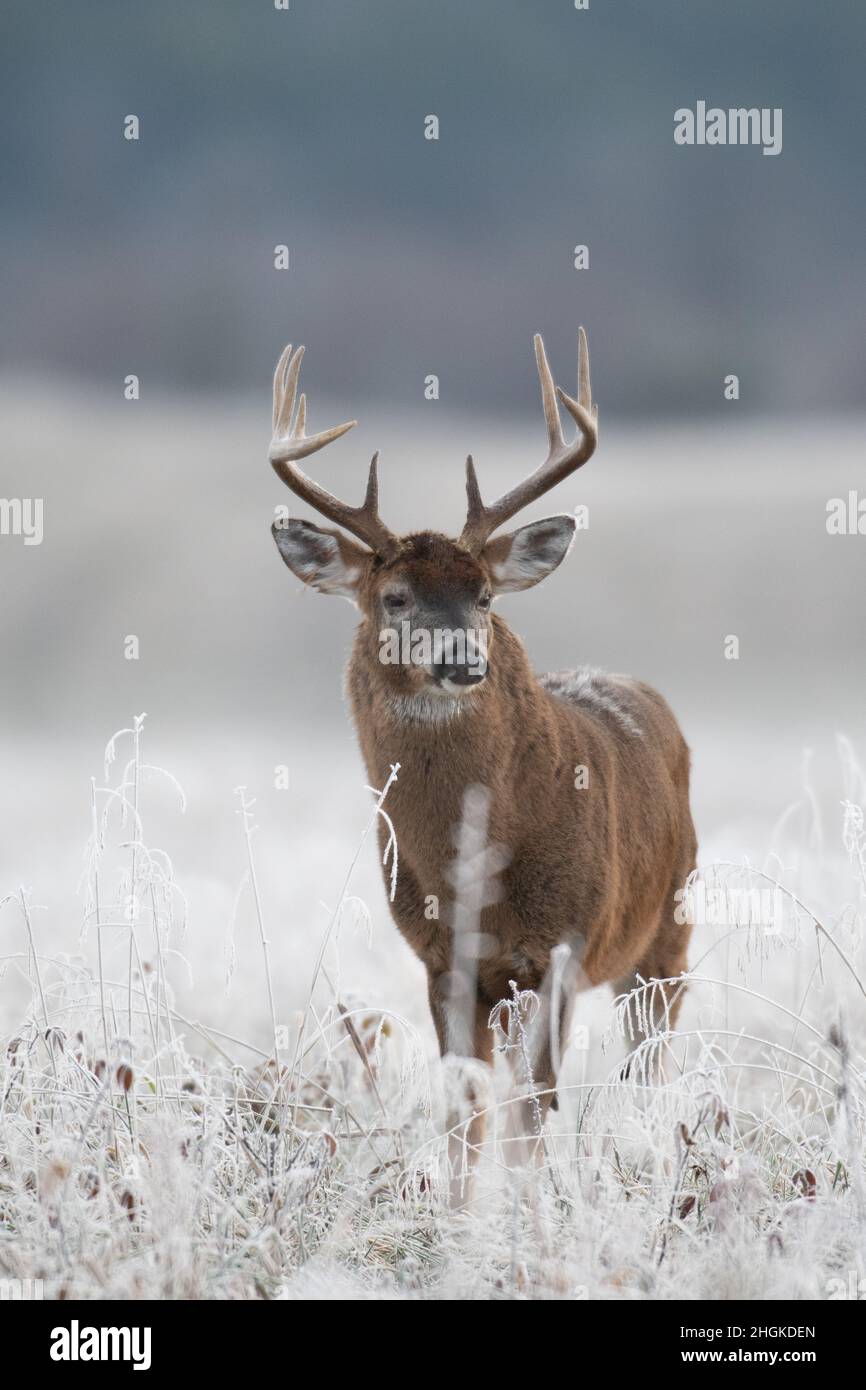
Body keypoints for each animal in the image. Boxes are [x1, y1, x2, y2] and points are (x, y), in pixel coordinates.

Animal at [267, 329, 697, 1138]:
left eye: (486, 595)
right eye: (395, 596)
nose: (464, 659)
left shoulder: (559, 949)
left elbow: (534, 1108)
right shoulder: (443, 960)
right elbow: (462, 1112)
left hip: (669, 931)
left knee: (652, 1065)